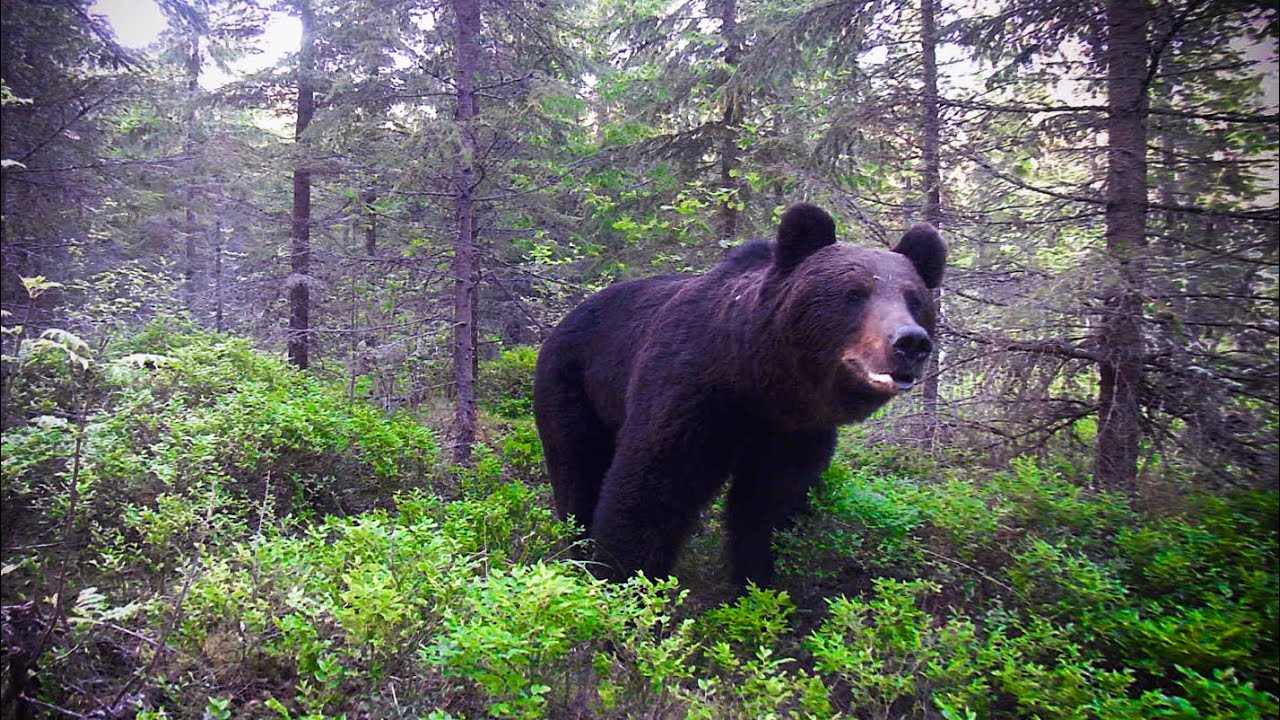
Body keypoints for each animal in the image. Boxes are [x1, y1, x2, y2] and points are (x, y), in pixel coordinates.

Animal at [533, 203, 946, 587]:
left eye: (914, 299)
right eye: (855, 293)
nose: (910, 342)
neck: (757, 380)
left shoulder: (795, 431)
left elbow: (770, 505)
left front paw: (754, 581)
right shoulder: (690, 394)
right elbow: (651, 489)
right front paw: (620, 579)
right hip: (572, 385)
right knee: (577, 469)